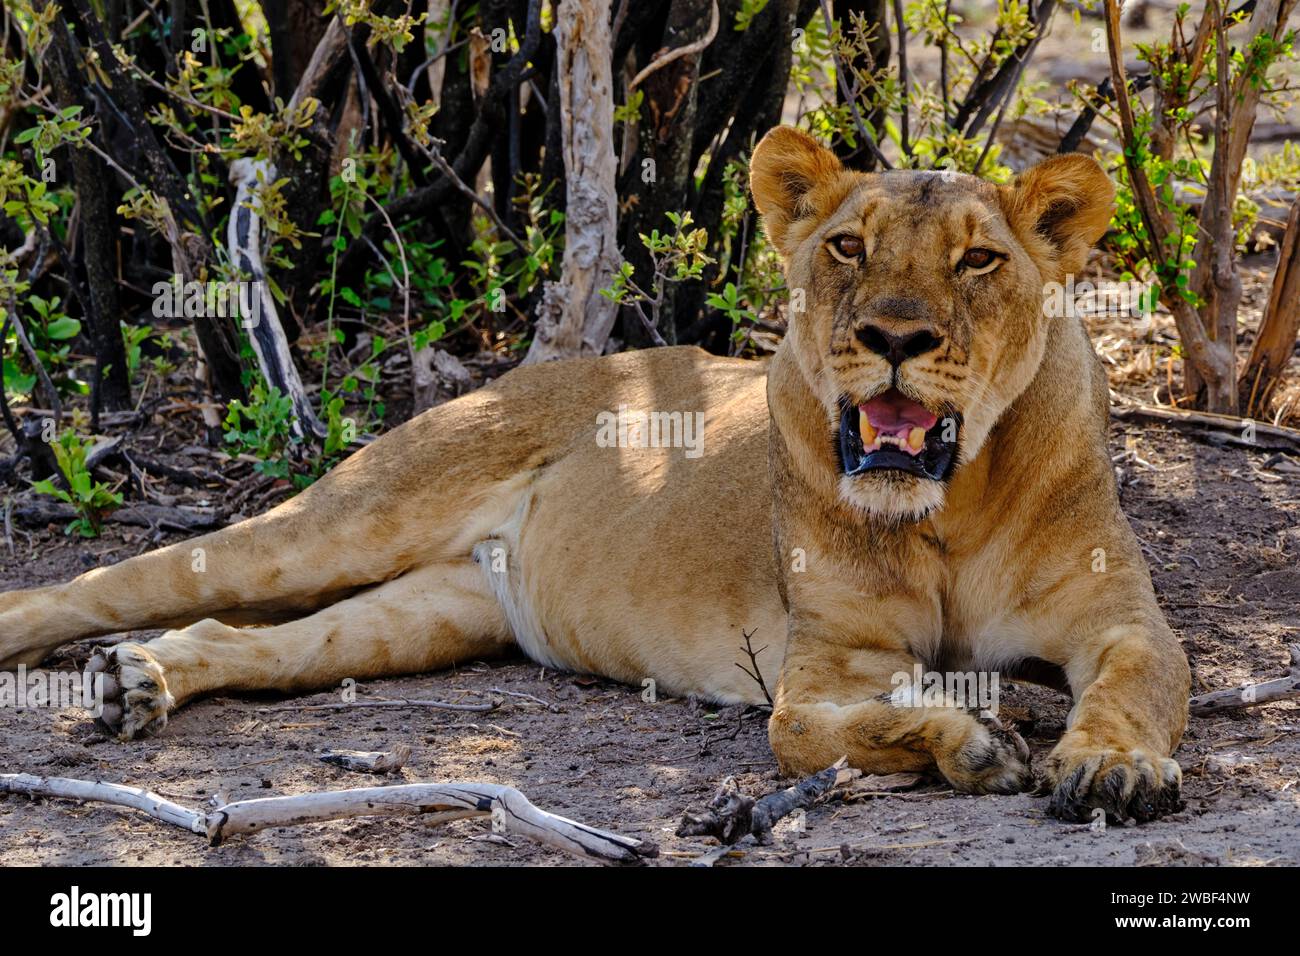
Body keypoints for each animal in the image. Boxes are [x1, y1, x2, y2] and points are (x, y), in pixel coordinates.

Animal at [0, 126, 1189, 822]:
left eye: (979, 259)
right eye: (848, 246)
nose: (893, 337)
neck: (947, 508)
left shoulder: (1120, 617)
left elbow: (1132, 682)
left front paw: (1112, 768)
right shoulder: (821, 668)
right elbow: (837, 725)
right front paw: (975, 740)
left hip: (427, 613)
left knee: (254, 638)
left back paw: (142, 679)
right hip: (345, 519)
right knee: (112, 585)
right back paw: (86, 662)